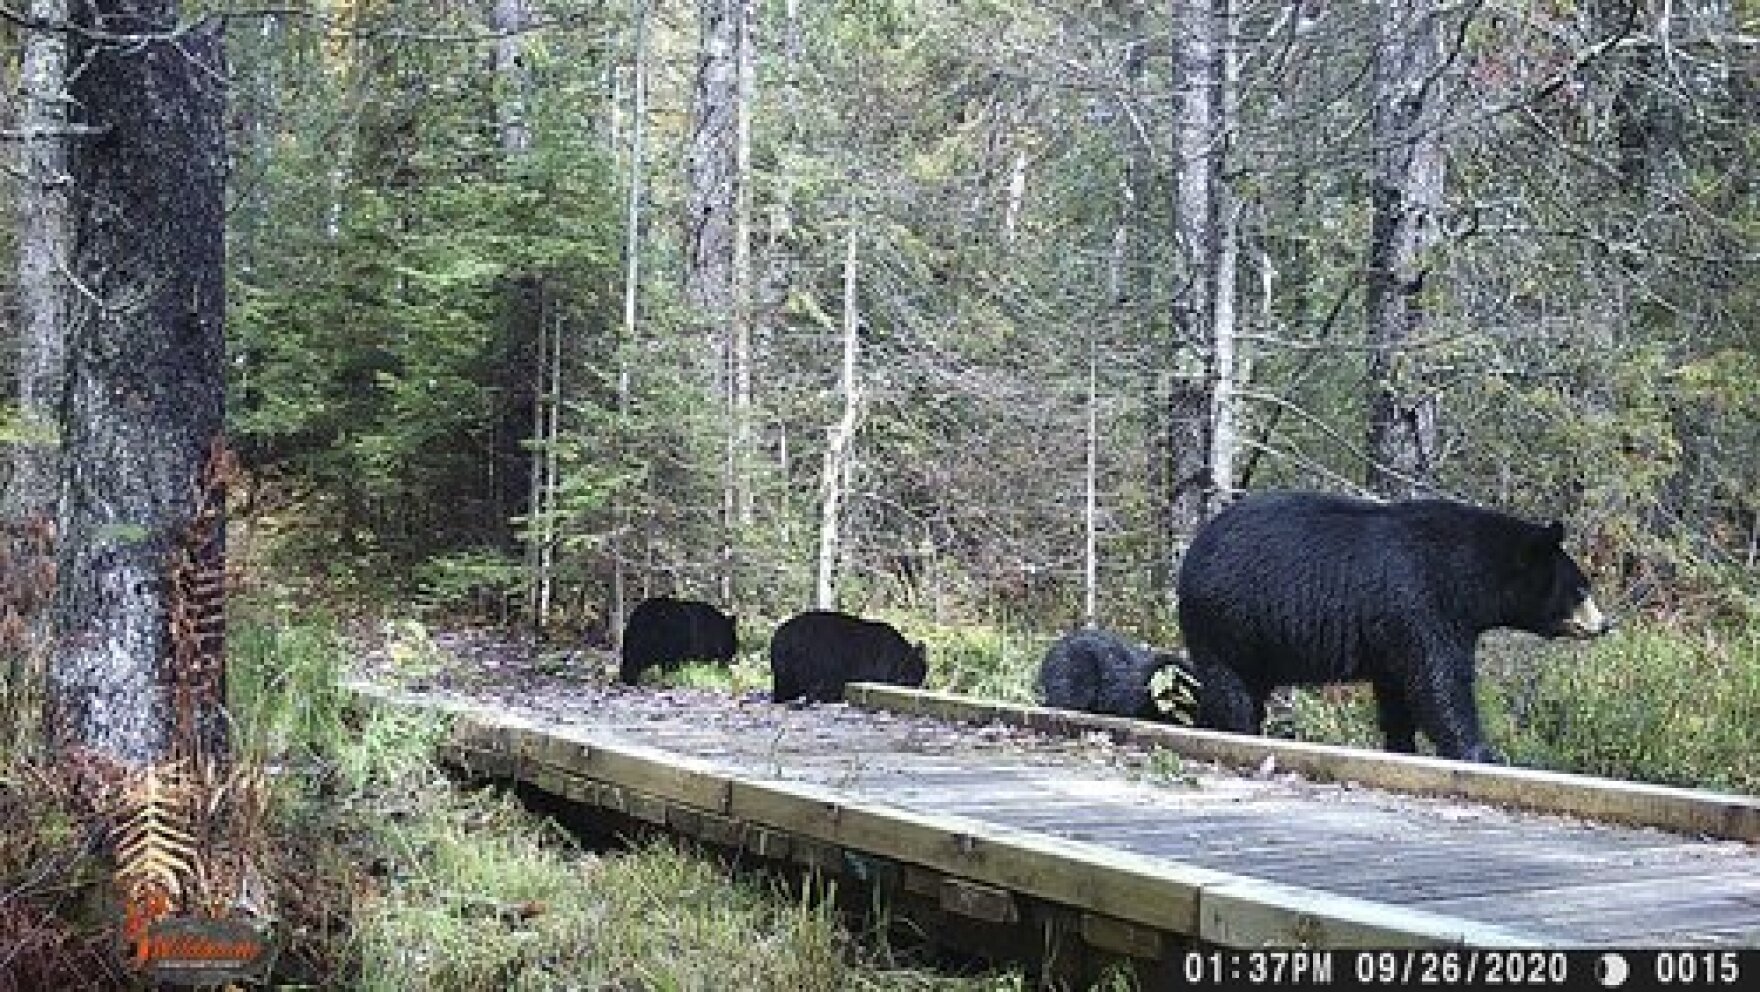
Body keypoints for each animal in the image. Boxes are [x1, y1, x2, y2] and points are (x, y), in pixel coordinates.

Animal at [769, 610, 928, 703]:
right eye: (910, 679)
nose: (915, 687)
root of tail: (780, 636)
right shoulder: (879, 664)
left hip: (784, 669)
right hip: (815, 657)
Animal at [1176, 490, 1611, 763]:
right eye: (1580, 589)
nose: (1606, 624)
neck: (1468, 575)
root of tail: (1192, 554)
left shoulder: (1392, 632)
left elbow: (1399, 692)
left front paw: (1403, 745)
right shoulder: (1424, 601)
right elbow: (1440, 683)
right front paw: (1480, 752)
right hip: (1227, 622)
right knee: (1234, 690)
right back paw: (1239, 730)